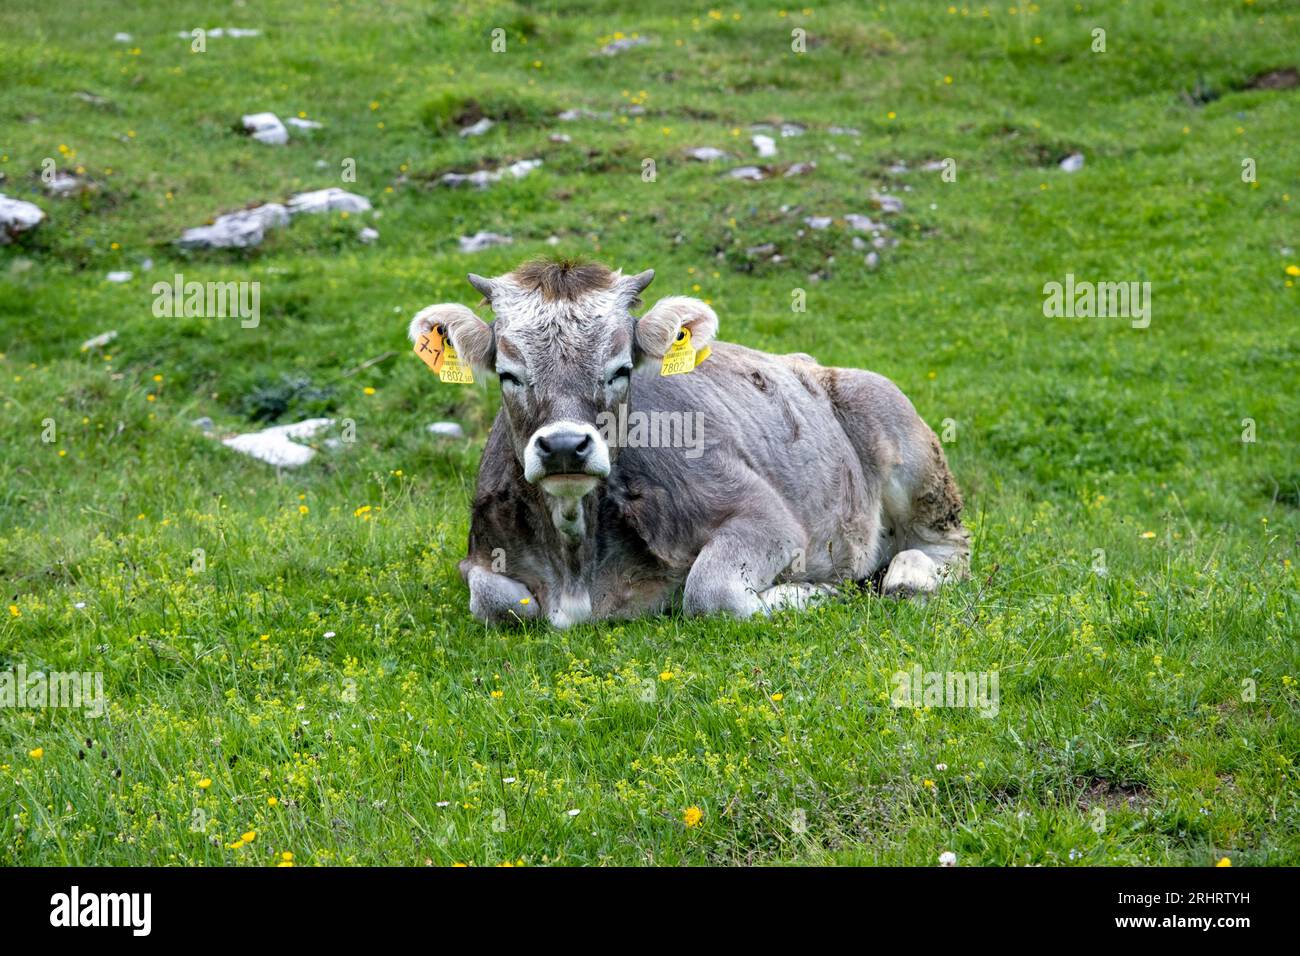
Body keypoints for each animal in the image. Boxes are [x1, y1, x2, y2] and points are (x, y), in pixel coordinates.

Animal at [409, 258, 970, 628]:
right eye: (508, 373)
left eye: (621, 369)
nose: (566, 446)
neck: (576, 567)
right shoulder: (479, 553)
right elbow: (497, 601)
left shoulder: (765, 515)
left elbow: (710, 591)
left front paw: (817, 591)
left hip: (909, 450)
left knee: (949, 548)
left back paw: (907, 575)